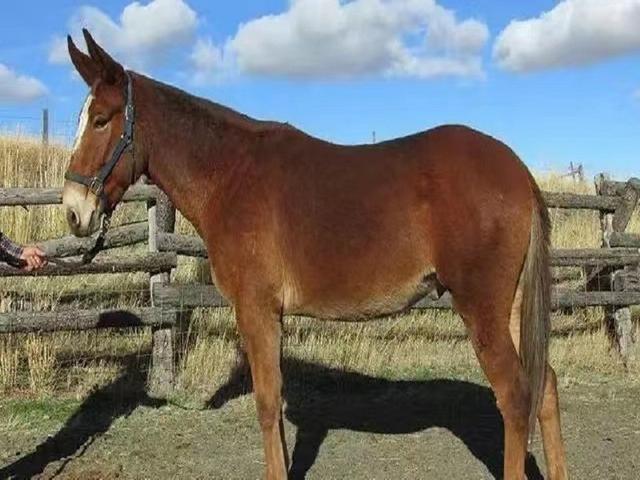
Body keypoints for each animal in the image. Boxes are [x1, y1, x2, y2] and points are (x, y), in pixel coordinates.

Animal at [62, 30, 568, 480]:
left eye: (102, 119)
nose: (73, 211)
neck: (231, 175)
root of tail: (517, 170)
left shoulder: (256, 310)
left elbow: (267, 404)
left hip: (482, 309)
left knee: (515, 396)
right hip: (512, 307)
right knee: (545, 386)